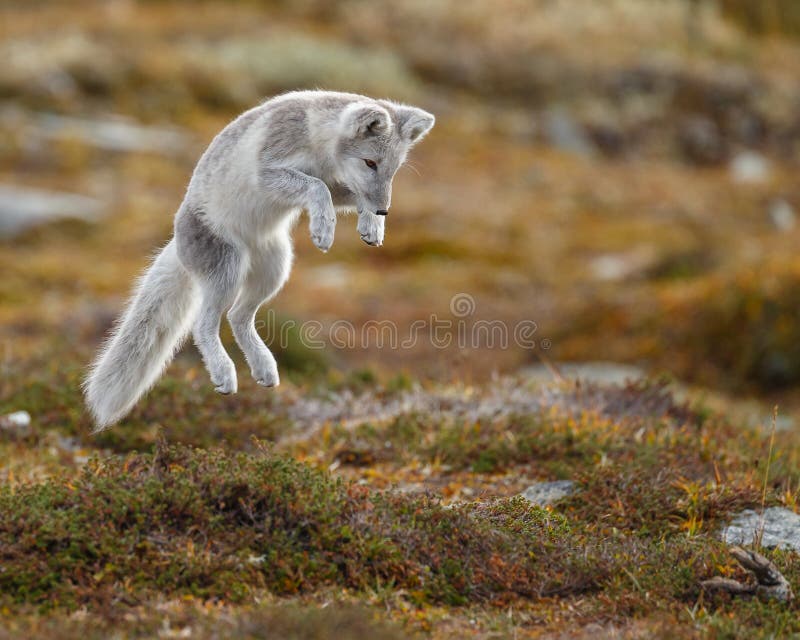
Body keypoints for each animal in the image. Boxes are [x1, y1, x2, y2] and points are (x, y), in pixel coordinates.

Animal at [84, 90, 435, 431]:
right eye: (370, 162)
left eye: (393, 170)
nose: (384, 210)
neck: (318, 141)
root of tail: (177, 242)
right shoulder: (269, 170)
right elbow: (317, 187)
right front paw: (324, 228)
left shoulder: (336, 181)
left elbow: (341, 191)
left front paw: (371, 226)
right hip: (229, 267)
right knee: (204, 325)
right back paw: (224, 372)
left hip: (276, 268)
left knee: (238, 317)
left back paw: (263, 366)